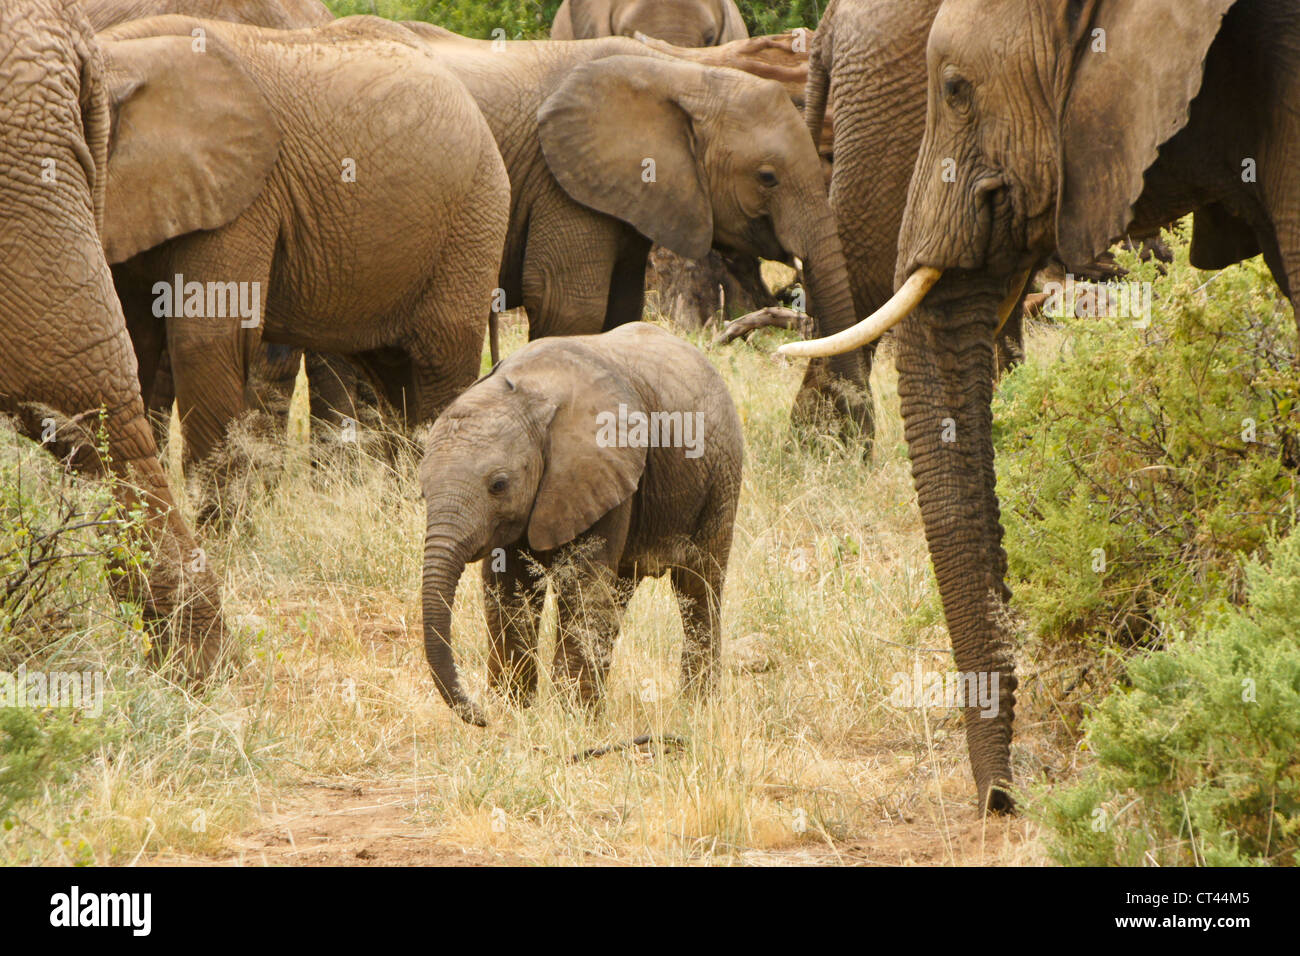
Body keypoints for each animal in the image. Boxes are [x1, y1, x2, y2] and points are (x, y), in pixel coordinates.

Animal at [95, 15, 510, 518]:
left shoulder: (246, 196)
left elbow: (207, 340)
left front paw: (224, 534)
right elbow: (133, 337)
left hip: (474, 217)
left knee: (439, 365)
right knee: (396, 377)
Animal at [419, 323, 743, 724]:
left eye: (499, 485)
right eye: (423, 489)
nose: (479, 716)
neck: (530, 394)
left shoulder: (600, 467)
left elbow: (581, 585)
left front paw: (569, 719)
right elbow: (509, 588)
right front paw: (515, 710)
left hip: (721, 474)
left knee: (698, 584)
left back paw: (696, 707)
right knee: (618, 594)